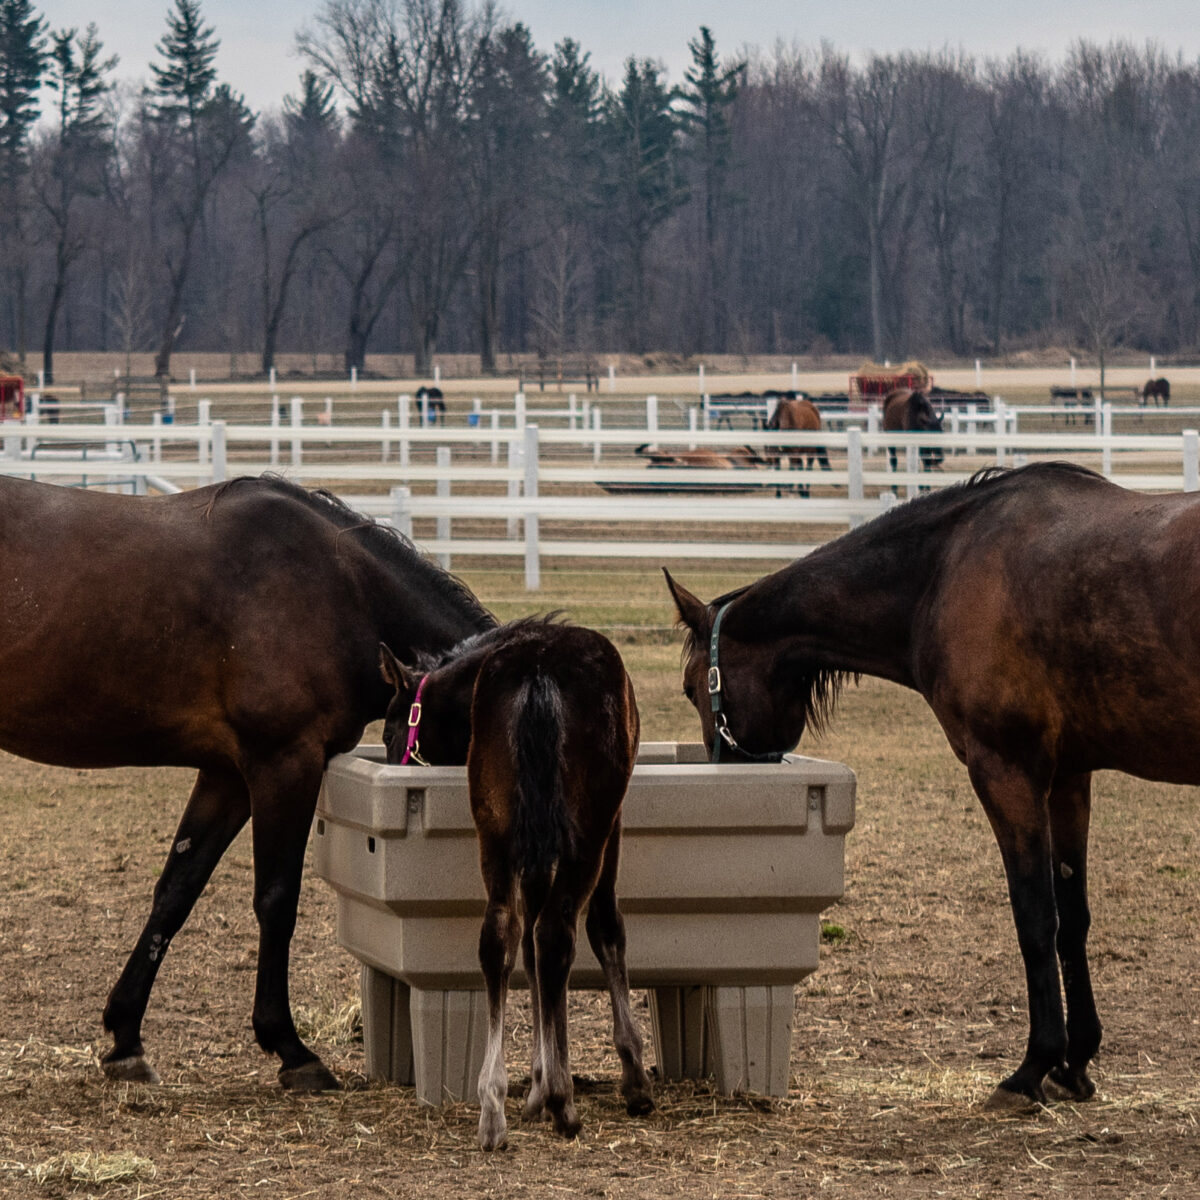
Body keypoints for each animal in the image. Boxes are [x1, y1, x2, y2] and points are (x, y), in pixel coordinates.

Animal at [0, 473, 495, 1091]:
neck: (340, 589)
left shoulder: (228, 776)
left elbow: (176, 893)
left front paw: (125, 1037)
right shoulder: (284, 764)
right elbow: (277, 900)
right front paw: (290, 1047)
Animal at [379, 618, 653, 1149]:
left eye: (387, 729)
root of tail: (537, 673)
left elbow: (524, 952)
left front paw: (534, 1086)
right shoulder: (613, 825)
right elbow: (606, 929)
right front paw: (630, 1077)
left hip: (497, 838)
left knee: (501, 938)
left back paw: (493, 1107)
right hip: (586, 836)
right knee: (557, 935)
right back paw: (564, 1102)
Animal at [664, 461, 1200, 1111]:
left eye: (691, 688)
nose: (722, 771)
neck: (943, 569)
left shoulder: (1006, 772)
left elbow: (1034, 917)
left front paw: (1032, 1067)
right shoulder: (1069, 778)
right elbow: (1072, 917)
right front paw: (1075, 1063)